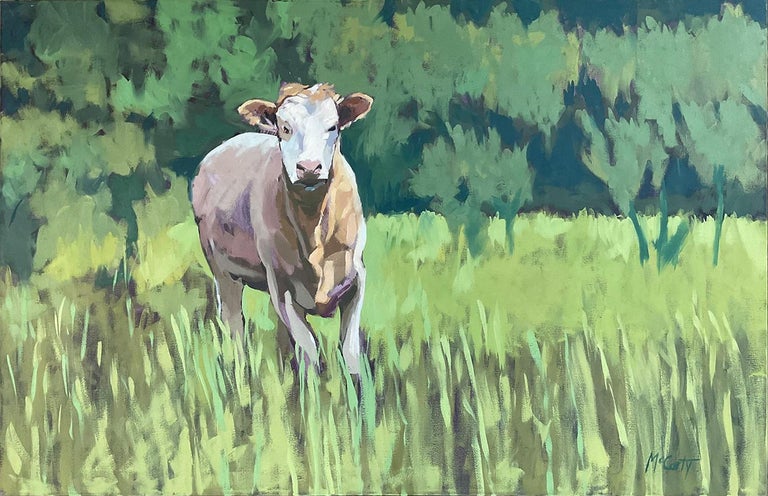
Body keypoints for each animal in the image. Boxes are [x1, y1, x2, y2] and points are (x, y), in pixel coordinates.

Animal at [191, 83, 372, 375]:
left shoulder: (356, 277)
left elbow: (350, 351)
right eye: (285, 128)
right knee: (233, 326)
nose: (308, 168)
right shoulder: (281, 287)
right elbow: (309, 350)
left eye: (333, 126)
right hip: (222, 271)